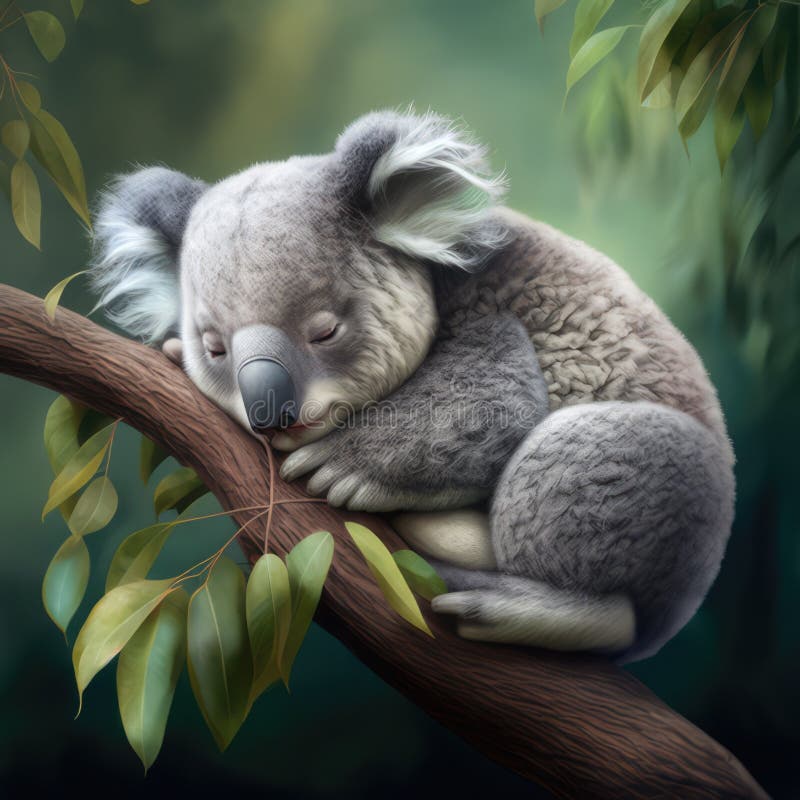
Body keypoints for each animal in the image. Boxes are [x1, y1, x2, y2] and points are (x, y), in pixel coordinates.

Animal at [90, 110, 735, 663]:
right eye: (215, 348)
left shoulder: (490, 319)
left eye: (325, 330)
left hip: (634, 478)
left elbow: (490, 402)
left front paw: (337, 465)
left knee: (599, 572)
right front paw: (171, 357)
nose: (272, 412)